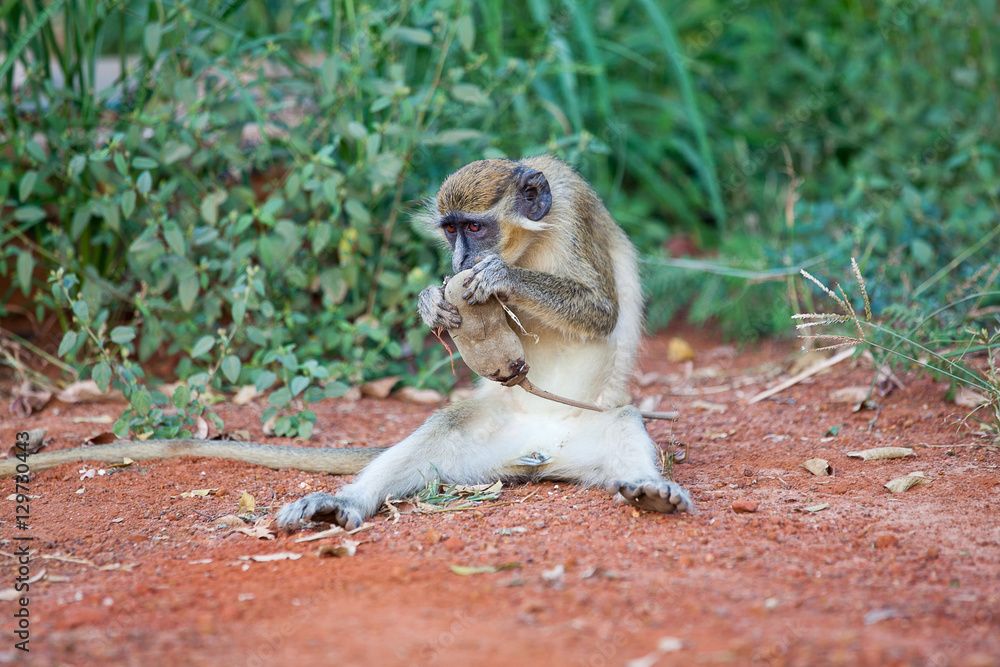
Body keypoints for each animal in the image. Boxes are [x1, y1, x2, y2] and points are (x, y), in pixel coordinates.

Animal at [275, 155, 691, 530]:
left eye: (474, 227)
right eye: (450, 230)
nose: (459, 260)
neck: (530, 242)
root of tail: (542, 448)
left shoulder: (574, 212)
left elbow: (603, 313)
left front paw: (503, 277)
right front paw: (429, 300)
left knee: (623, 420)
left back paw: (648, 488)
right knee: (445, 425)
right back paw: (344, 502)